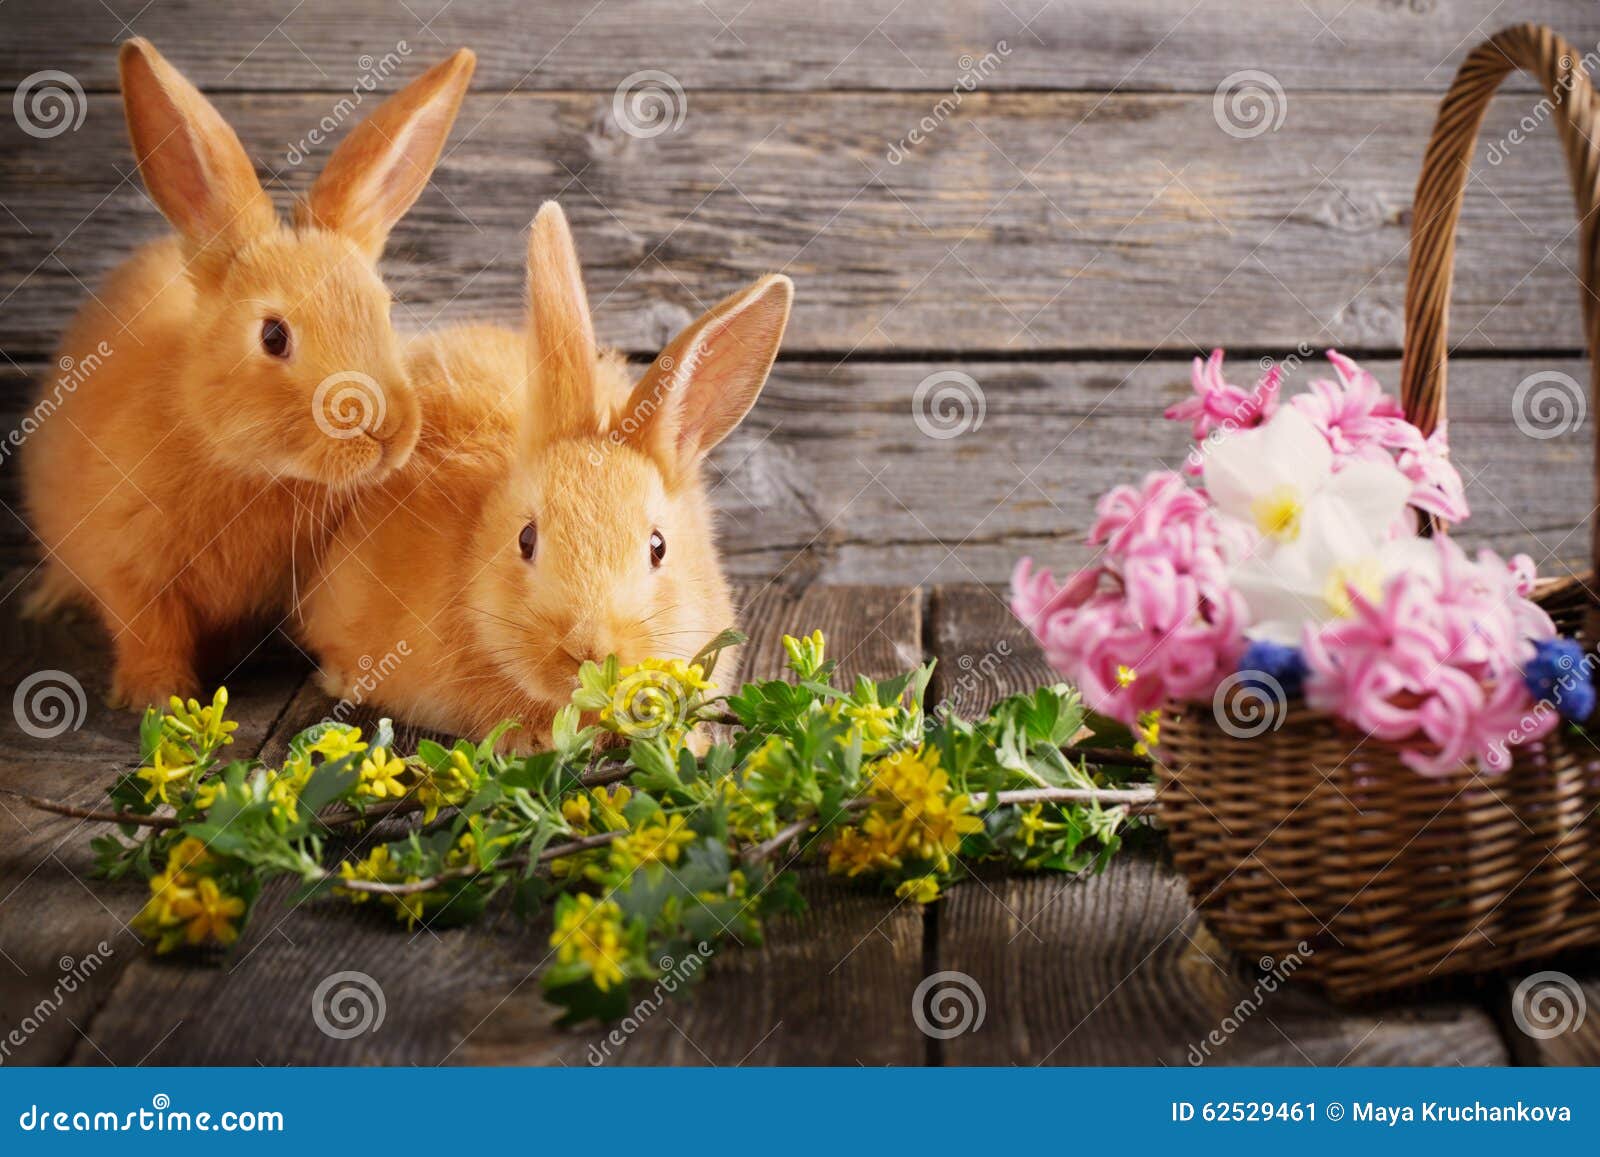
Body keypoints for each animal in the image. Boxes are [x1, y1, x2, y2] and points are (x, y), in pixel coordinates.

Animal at [21, 38, 476, 710]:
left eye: (386, 312)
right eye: (273, 336)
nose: (388, 434)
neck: (252, 470)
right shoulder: (130, 571)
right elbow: (147, 629)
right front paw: (156, 695)